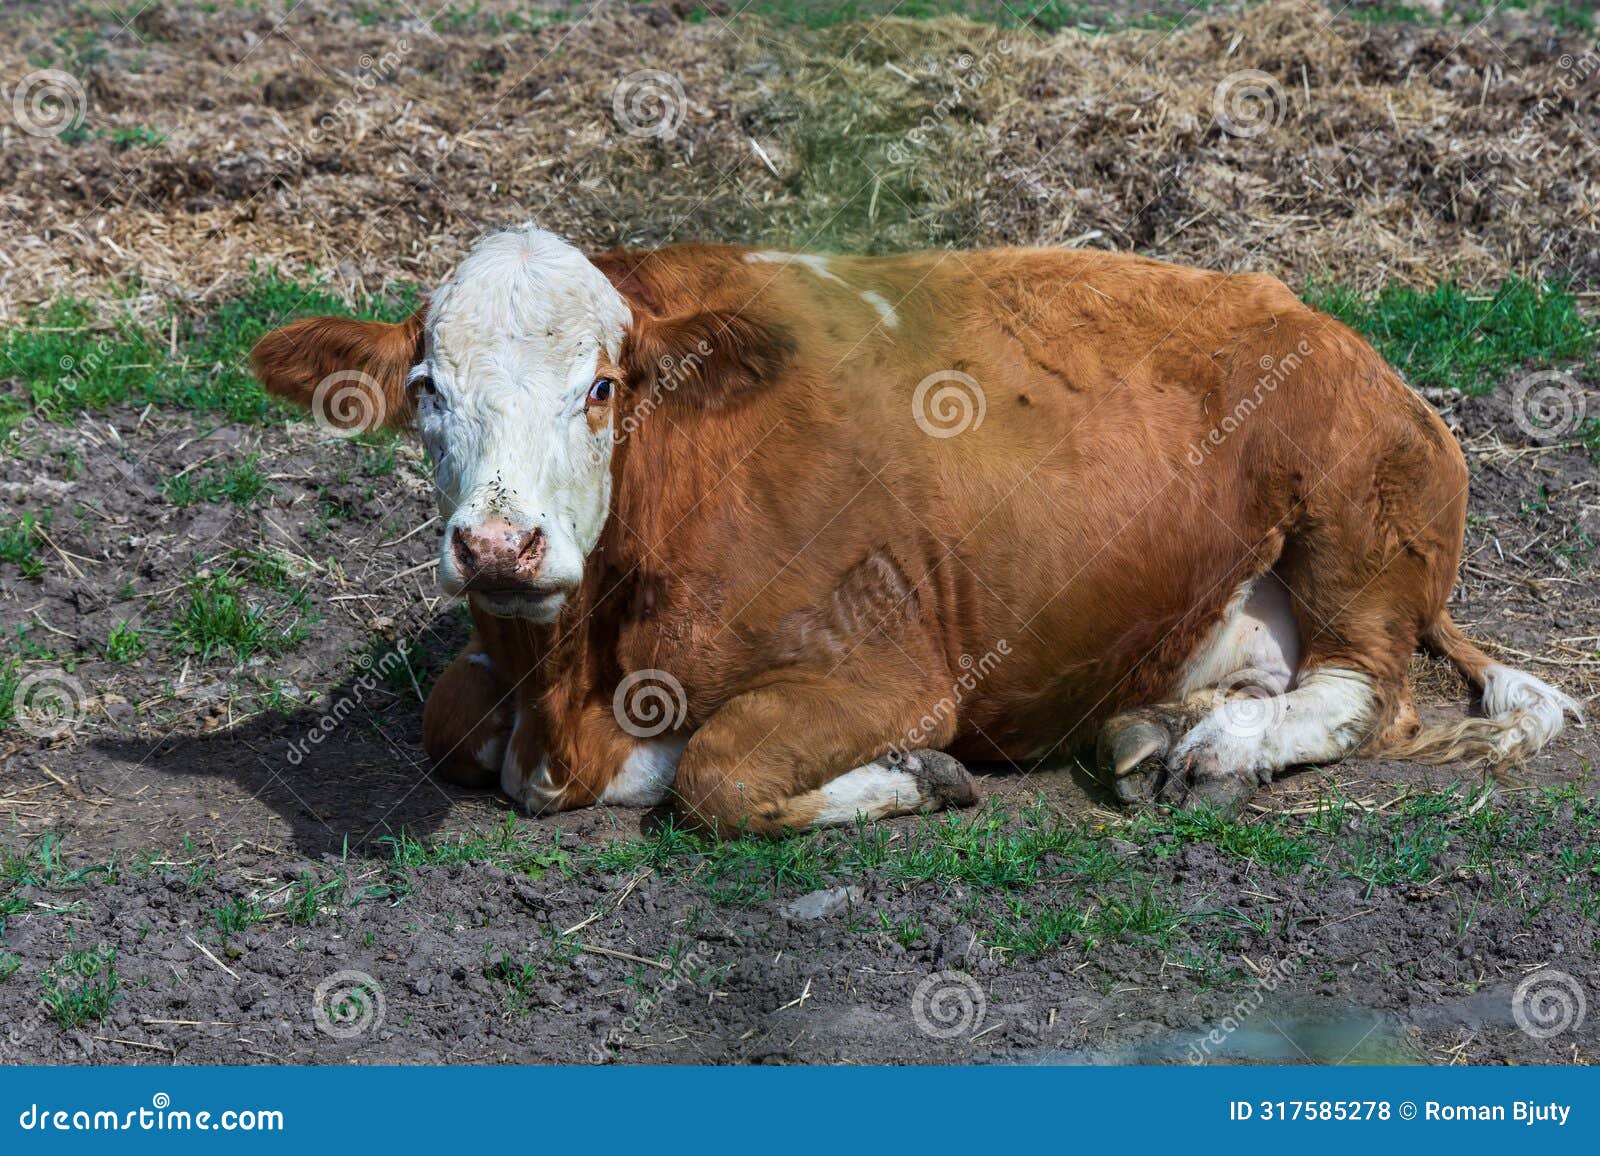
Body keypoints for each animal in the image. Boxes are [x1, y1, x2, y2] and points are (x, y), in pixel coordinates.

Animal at [251, 223, 1582, 835]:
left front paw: (911, 776)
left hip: (1353, 511)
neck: (569, 684)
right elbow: (450, 721)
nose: (499, 547)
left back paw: (1215, 749)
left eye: (603, 386)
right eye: (428, 389)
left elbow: (719, 773)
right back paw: (1159, 725)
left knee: (1361, 692)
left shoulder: (886, 666)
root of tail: (1322, 319)